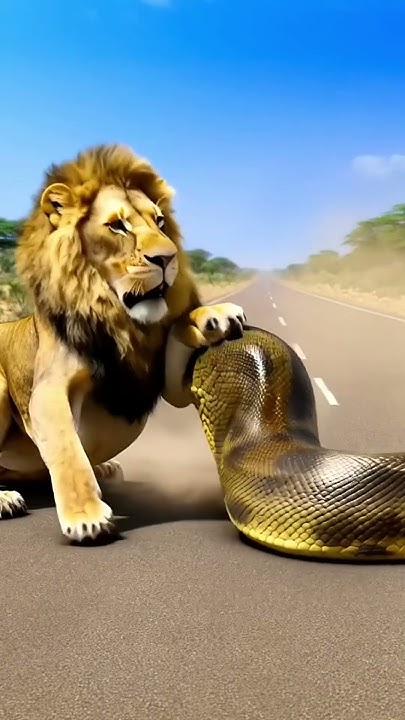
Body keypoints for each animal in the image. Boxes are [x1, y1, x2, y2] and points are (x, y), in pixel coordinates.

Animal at [0, 143, 246, 542]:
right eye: (118, 225)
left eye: (159, 222)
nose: (167, 258)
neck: (122, 319)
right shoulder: (48, 390)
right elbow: (68, 448)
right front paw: (85, 516)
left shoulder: (162, 380)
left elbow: (178, 338)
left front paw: (212, 316)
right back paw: (6, 499)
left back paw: (105, 469)